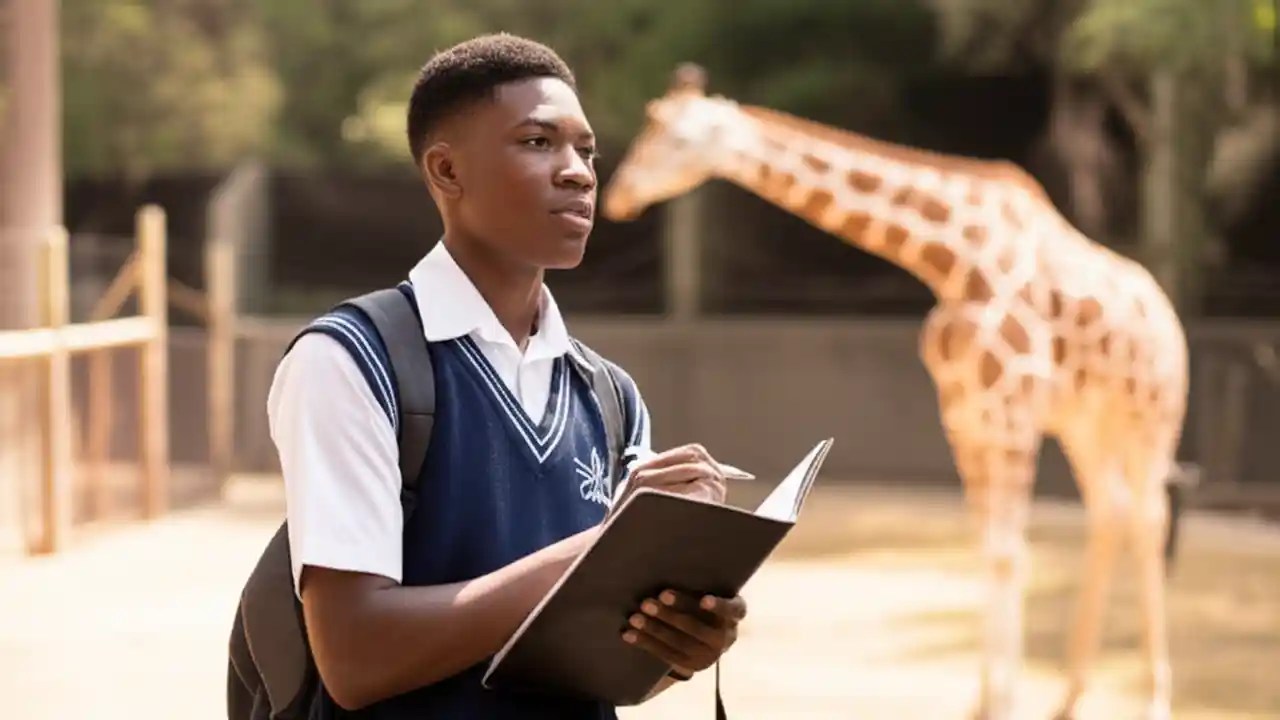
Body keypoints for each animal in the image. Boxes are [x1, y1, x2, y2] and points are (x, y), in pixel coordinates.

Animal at [601, 64, 1189, 720]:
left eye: (672, 136)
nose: (617, 196)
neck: (953, 263)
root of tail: (1166, 314)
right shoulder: (966, 416)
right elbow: (988, 548)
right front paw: (983, 704)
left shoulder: (1008, 414)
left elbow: (1009, 552)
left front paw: (1003, 703)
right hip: (1088, 422)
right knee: (1112, 510)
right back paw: (1070, 695)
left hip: (1150, 416)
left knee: (1149, 517)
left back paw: (1153, 698)